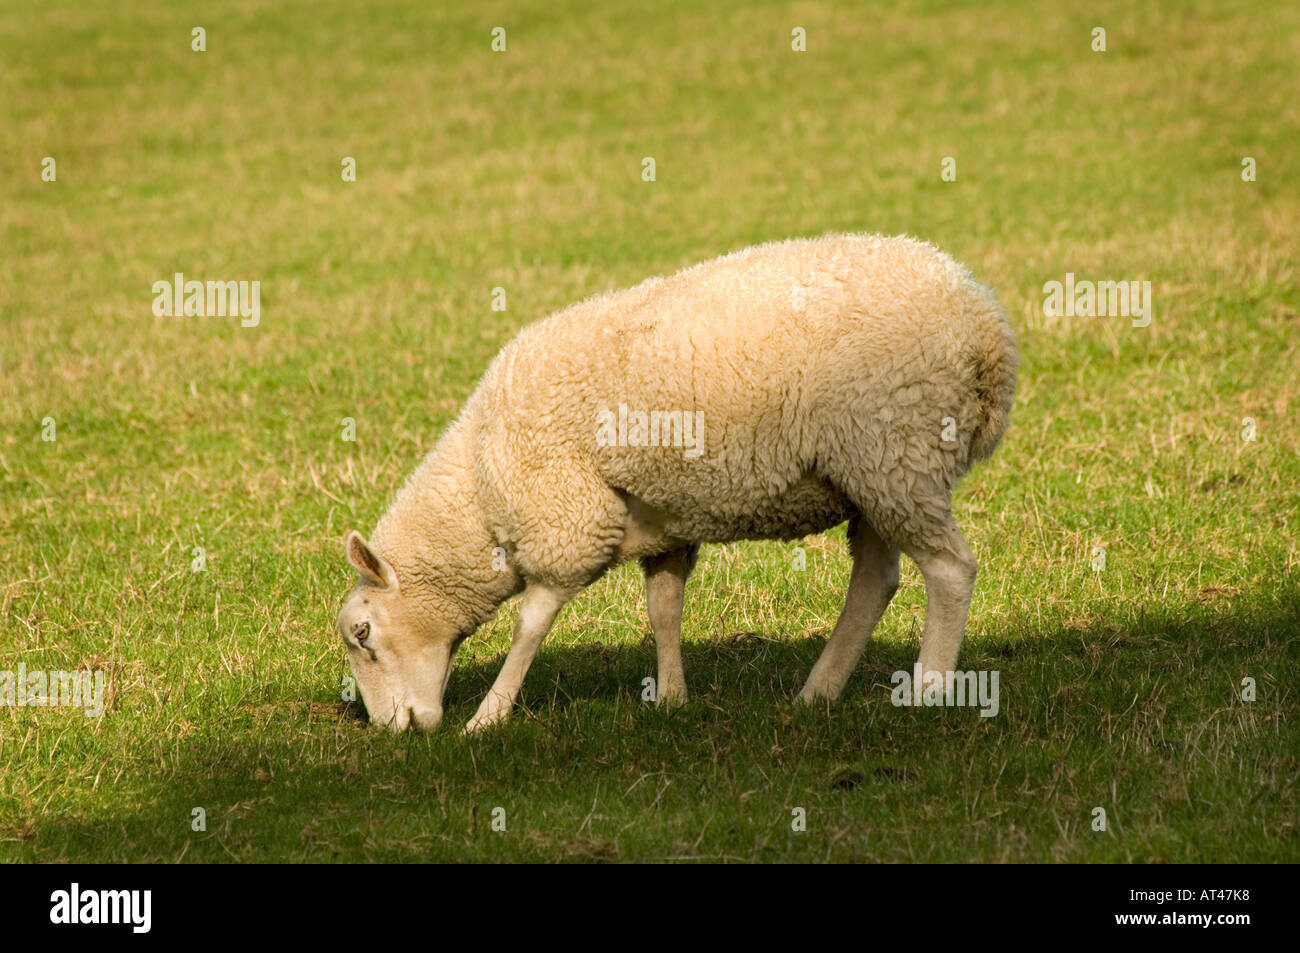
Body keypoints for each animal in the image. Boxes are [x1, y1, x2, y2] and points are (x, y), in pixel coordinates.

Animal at [337, 233, 1017, 733]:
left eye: (362, 635)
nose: (392, 728)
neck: (479, 491)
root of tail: (987, 330)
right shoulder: (659, 519)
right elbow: (663, 606)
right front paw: (670, 697)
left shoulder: (567, 520)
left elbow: (532, 621)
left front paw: (488, 717)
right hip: (871, 475)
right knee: (876, 579)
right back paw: (818, 692)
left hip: (895, 448)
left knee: (950, 571)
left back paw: (928, 689)